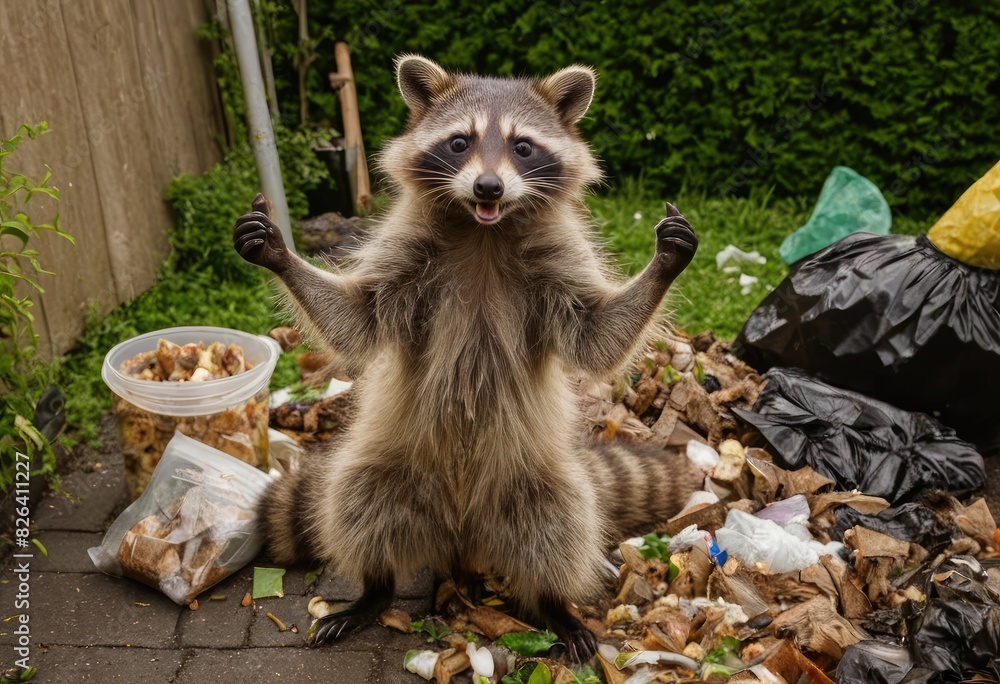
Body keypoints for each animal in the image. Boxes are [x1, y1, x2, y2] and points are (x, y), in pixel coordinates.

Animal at [234, 55, 701, 661]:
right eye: (460, 142)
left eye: (523, 147)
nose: (488, 184)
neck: (485, 229)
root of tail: (462, 534)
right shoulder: (404, 250)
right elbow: (358, 320)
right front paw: (280, 255)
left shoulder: (559, 259)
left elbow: (596, 336)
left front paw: (665, 263)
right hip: (393, 463)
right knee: (357, 503)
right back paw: (373, 590)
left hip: (532, 476)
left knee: (562, 522)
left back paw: (554, 604)